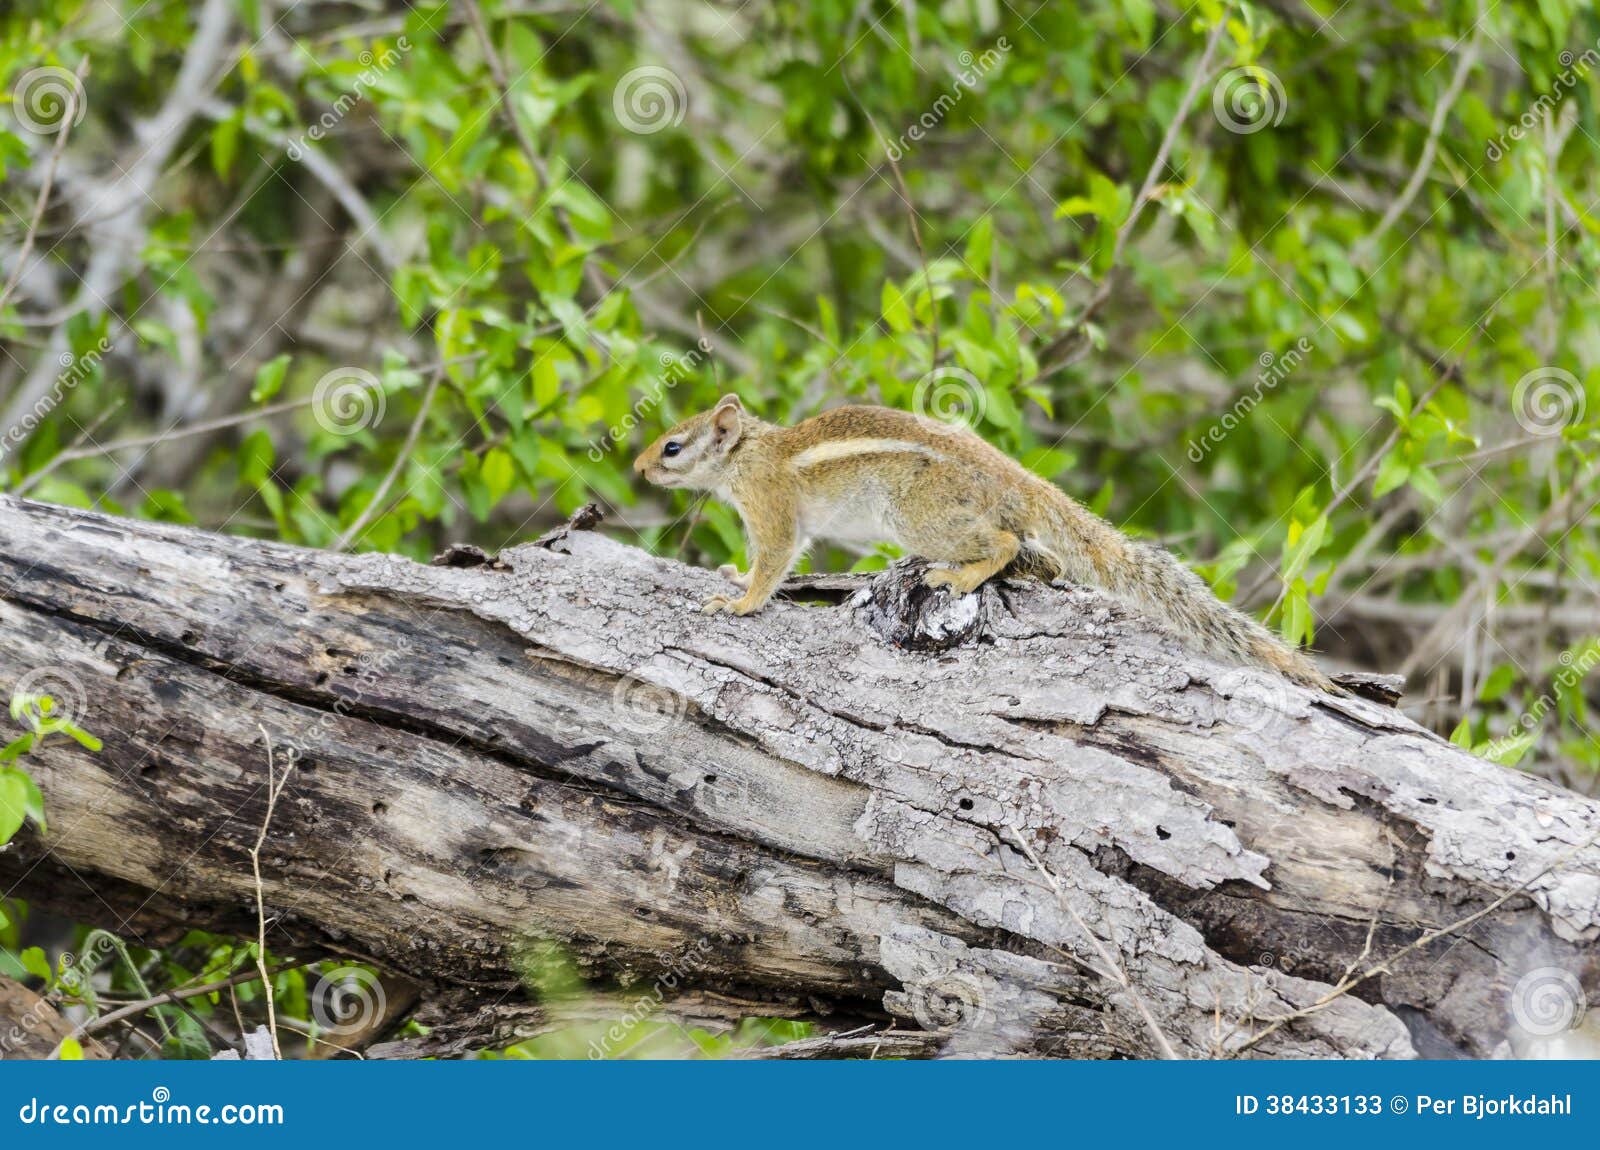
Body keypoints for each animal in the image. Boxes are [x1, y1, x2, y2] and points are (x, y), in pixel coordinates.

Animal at [634, 395, 1334, 691]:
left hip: (921, 516)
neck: (748, 453)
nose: (638, 467)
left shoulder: (772, 509)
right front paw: (732, 576)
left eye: (673, 446)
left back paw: (963, 575)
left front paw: (738, 602)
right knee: (1041, 557)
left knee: (999, 541)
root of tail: (1013, 477)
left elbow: (774, 560)